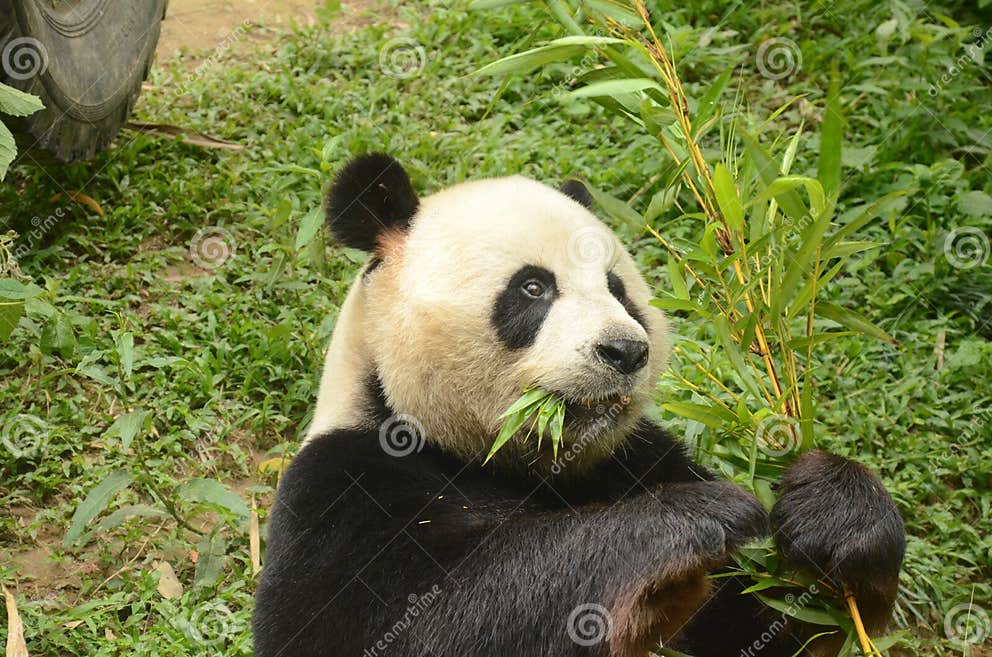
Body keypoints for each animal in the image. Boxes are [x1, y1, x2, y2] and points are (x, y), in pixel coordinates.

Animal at [253, 153, 906, 657]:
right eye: (533, 288)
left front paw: (833, 514)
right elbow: (415, 625)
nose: (625, 351)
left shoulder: (633, 459)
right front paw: (695, 519)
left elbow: (771, 631)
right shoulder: (347, 486)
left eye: (618, 290)